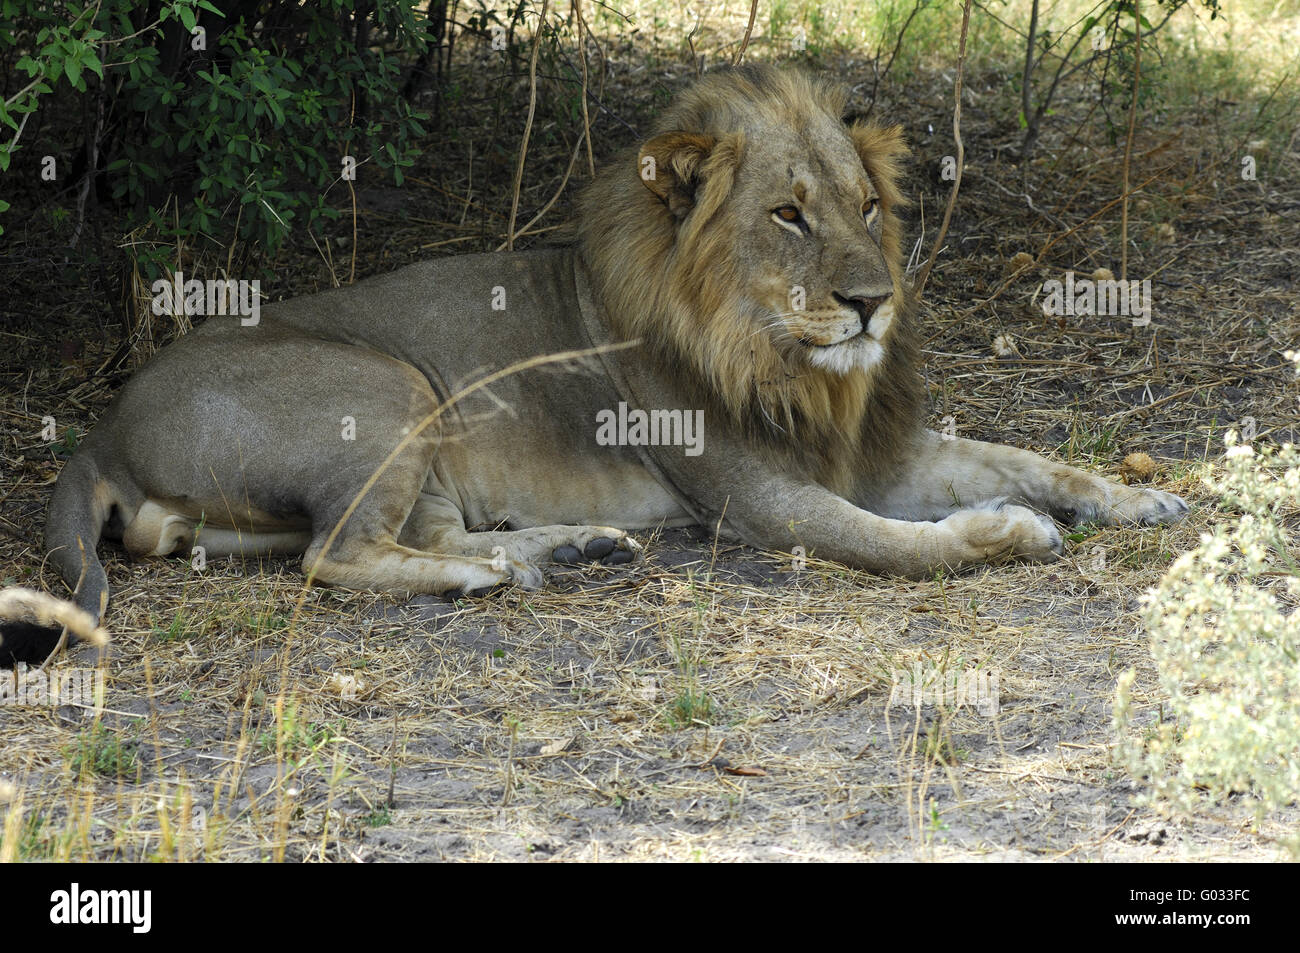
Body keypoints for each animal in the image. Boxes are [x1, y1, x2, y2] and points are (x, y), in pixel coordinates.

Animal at [1, 65, 1187, 663]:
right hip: (389, 386)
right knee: (335, 557)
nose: (870, 302)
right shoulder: (757, 496)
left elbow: (1024, 455)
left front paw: (1142, 500)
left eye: (864, 207)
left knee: (409, 533)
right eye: (787, 215)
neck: (787, 358)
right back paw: (494, 573)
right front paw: (1005, 535)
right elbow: (899, 543)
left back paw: (562, 551)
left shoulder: (869, 450)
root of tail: (100, 430)